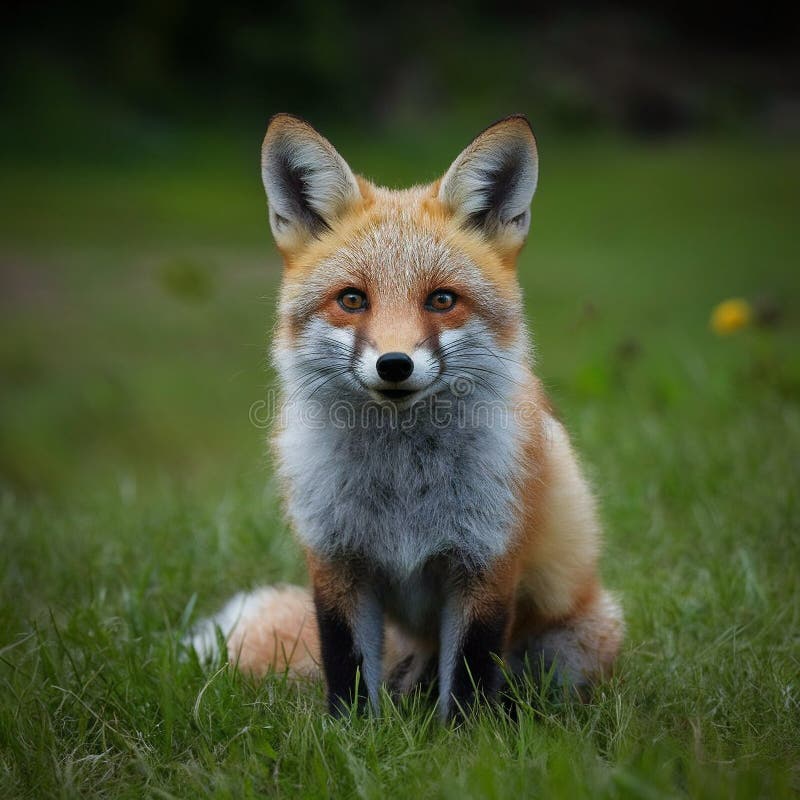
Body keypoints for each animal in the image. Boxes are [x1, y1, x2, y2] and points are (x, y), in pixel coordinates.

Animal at [188, 114, 624, 720]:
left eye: (442, 300)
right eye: (352, 299)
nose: (394, 364)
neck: (403, 491)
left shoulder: (485, 562)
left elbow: (468, 679)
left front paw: (467, 739)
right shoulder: (337, 562)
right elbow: (347, 671)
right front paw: (351, 734)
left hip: (572, 649)